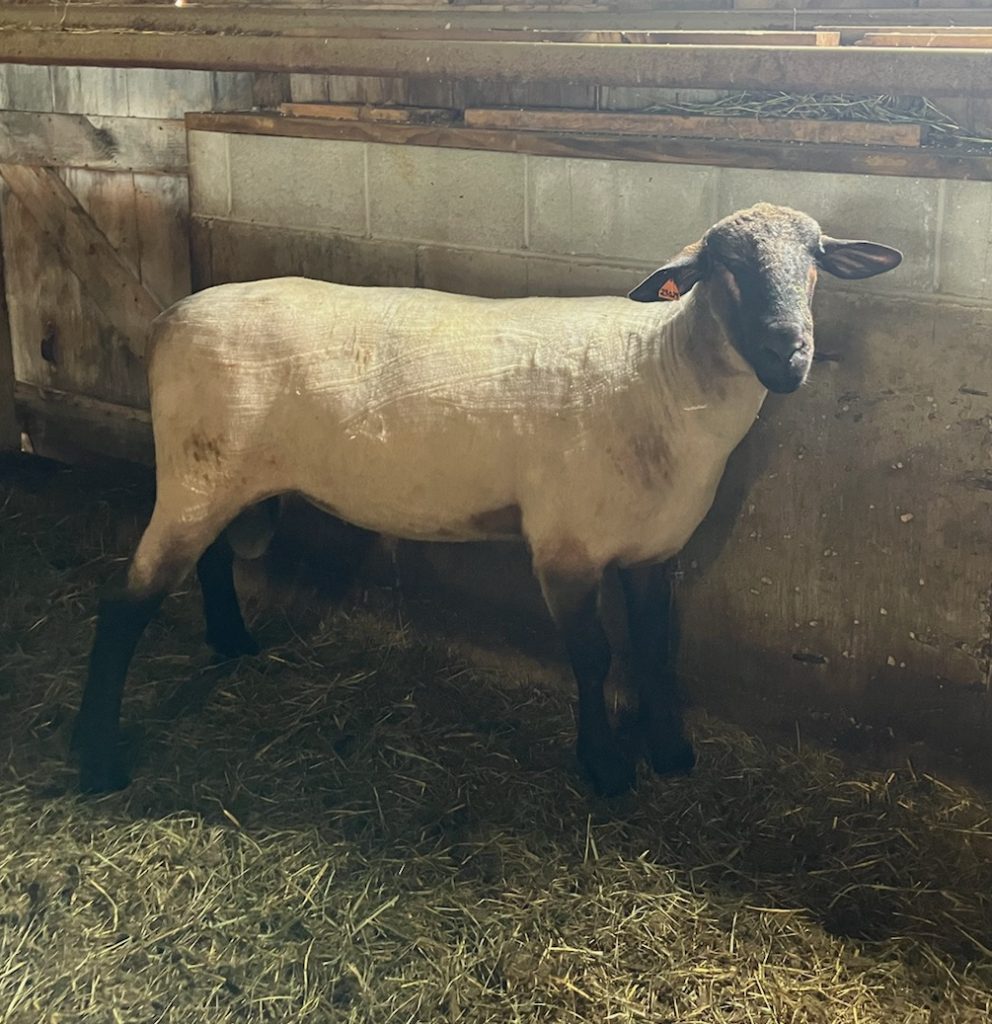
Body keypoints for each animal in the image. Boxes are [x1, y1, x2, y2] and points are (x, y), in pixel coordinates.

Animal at [72, 202, 902, 795]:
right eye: (724, 266)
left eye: (816, 261)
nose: (788, 353)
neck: (664, 373)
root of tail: (167, 319)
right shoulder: (565, 547)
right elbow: (594, 657)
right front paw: (605, 769)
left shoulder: (655, 549)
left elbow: (657, 650)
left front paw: (671, 753)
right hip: (195, 471)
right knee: (123, 605)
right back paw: (98, 764)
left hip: (218, 477)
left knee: (209, 559)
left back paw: (231, 642)